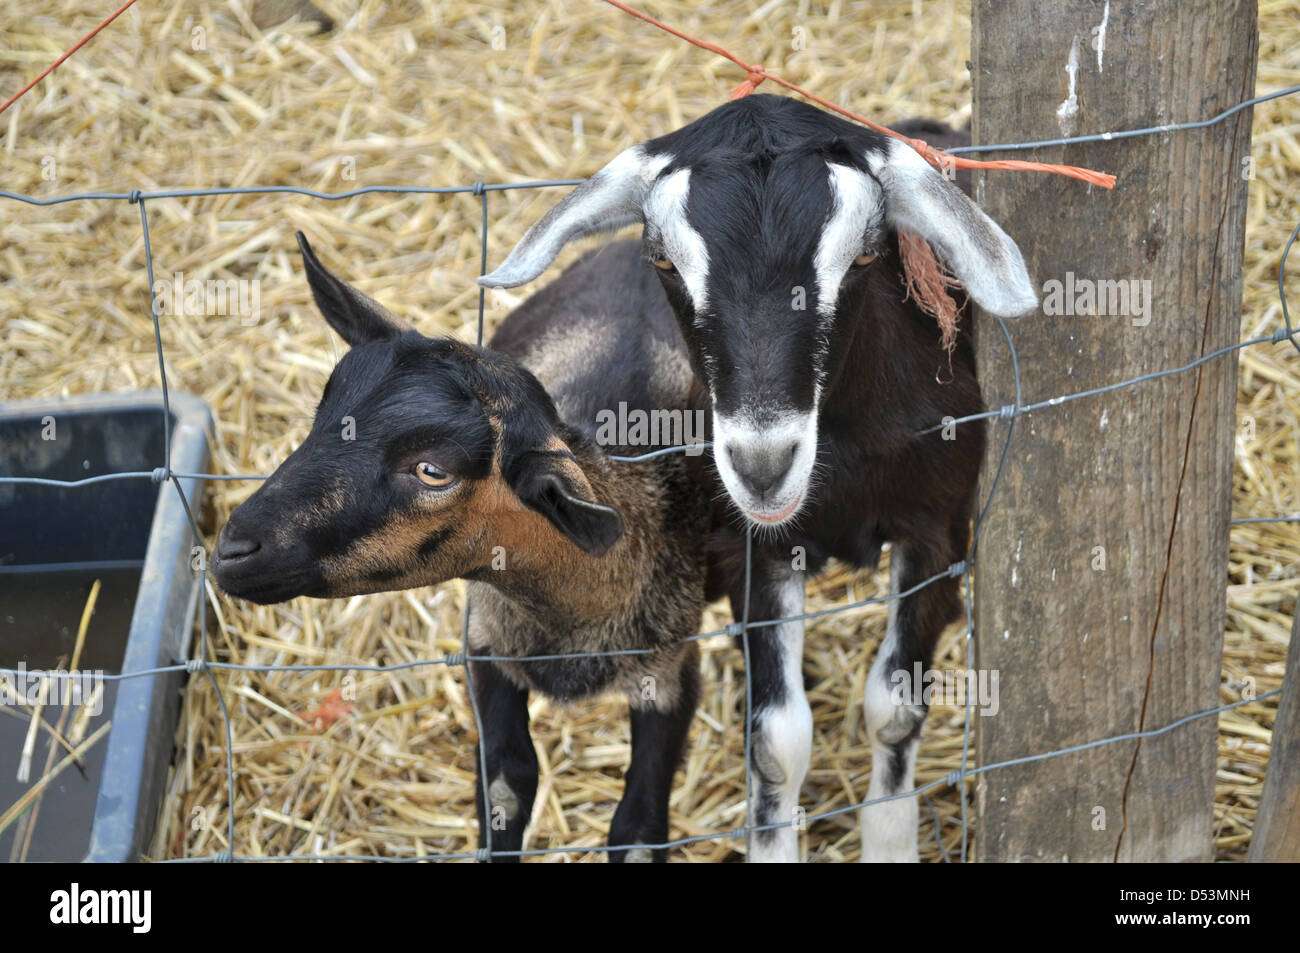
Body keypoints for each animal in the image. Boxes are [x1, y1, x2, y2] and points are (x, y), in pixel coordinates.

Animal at [213, 233, 712, 862]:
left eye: (432, 471)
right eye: (322, 418)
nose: (232, 550)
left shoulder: (671, 672)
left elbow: (639, 826)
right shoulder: (487, 646)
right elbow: (507, 786)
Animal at [480, 94, 1037, 862]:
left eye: (867, 253)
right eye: (663, 259)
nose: (763, 466)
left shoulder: (939, 532)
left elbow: (896, 709)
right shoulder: (757, 550)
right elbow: (777, 740)